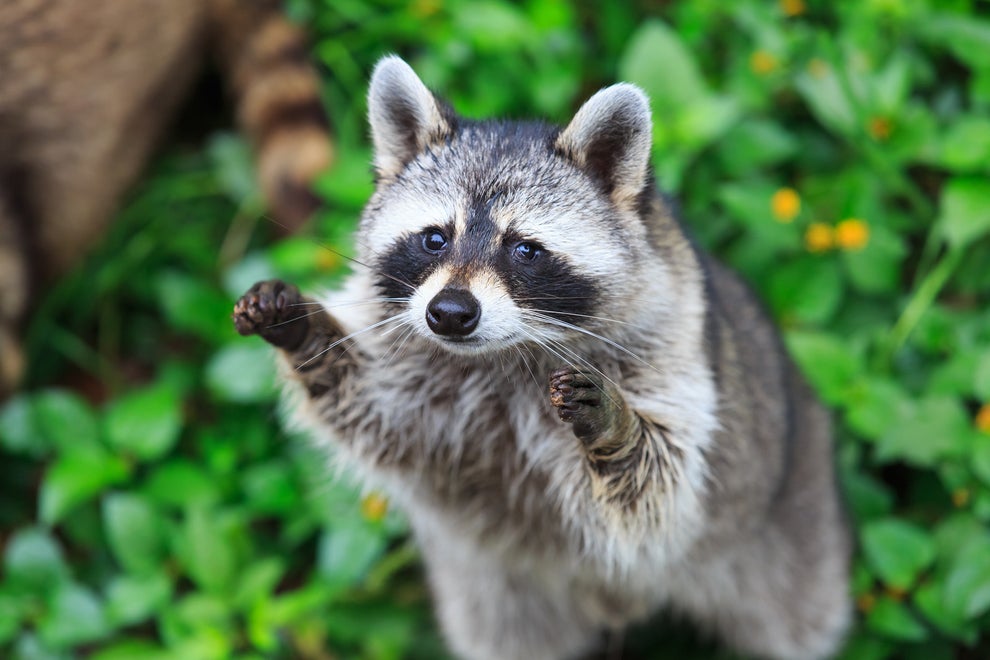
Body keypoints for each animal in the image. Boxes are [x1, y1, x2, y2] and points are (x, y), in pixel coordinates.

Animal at [234, 56, 851, 660]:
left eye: (525, 249)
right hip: (496, 591)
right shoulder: (413, 365)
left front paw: (618, 427)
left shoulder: (668, 342)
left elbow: (664, 483)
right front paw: (305, 331)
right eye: (435, 238)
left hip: (790, 528)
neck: (504, 353)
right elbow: (370, 405)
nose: (449, 313)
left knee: (799, 620)